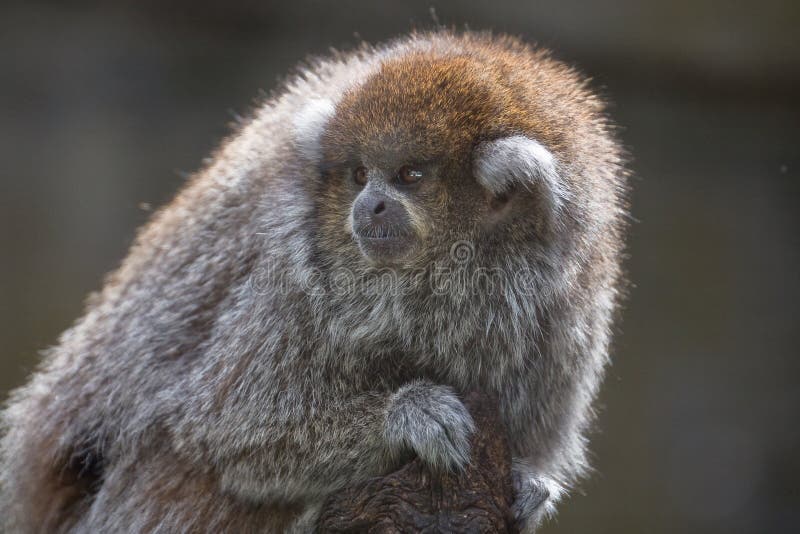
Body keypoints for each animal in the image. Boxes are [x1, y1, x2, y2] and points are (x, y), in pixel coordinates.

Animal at [0, 31, 627, 533]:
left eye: (410, 175)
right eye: (359, 174)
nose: (369, 205)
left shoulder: (568, 303)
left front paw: (532, 485)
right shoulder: (298, 275)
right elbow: (230, 429)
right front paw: (406, 417)